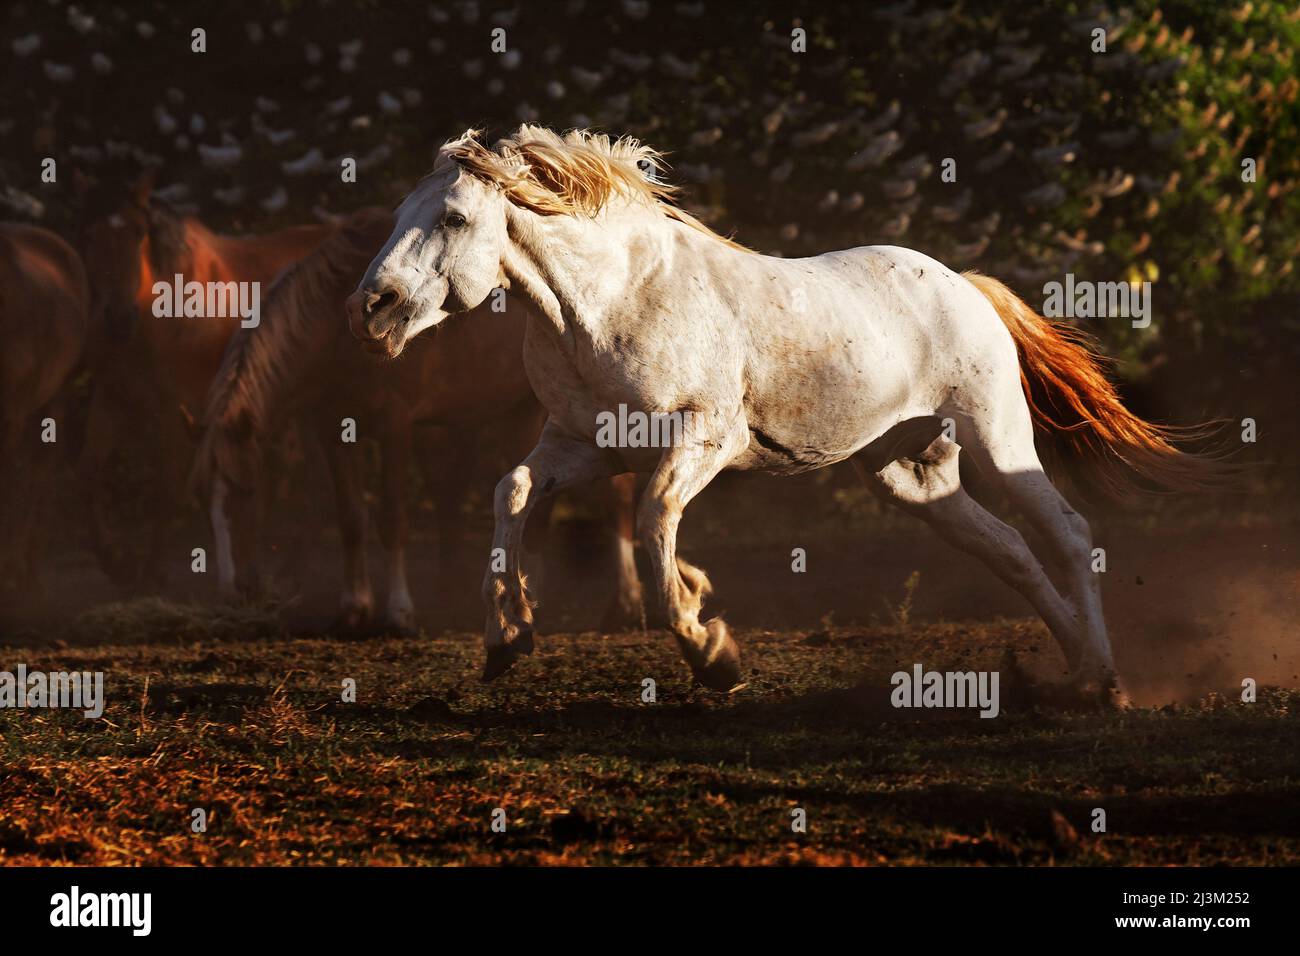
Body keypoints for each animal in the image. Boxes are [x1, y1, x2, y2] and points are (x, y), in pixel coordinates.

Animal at [75, 169, 335, 586]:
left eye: (138, 232)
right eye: (88, 235)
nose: (118, 319)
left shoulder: (179, 409)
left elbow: (168, 487)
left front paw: (151, 573)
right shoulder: (111, 399)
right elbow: (86, 476)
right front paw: (117, 563)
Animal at [194, 207, 644, 633]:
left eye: (248, 492)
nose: (231, 594)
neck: (335, 335)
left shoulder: (396, 426)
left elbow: (393, 519)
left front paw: (399, 612)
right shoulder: (332, 431)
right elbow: (351, 518)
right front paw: (354, 608)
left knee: (617, 495)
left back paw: (623, 605)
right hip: (520, 412)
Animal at [347, 125, 1233, 703]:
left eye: (454, 218)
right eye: (398, 215)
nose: (373, 308)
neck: (608, 304)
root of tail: (965, 286)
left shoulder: (702, 440)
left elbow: (656, 521)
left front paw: (710, 647)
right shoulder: (582, 445)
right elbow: (515, 493)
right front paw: (508, 639)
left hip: (996, 437)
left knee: (1068, 534)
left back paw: (1107, 681)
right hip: (911, 475)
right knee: (1011, 550)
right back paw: (1076, 667)